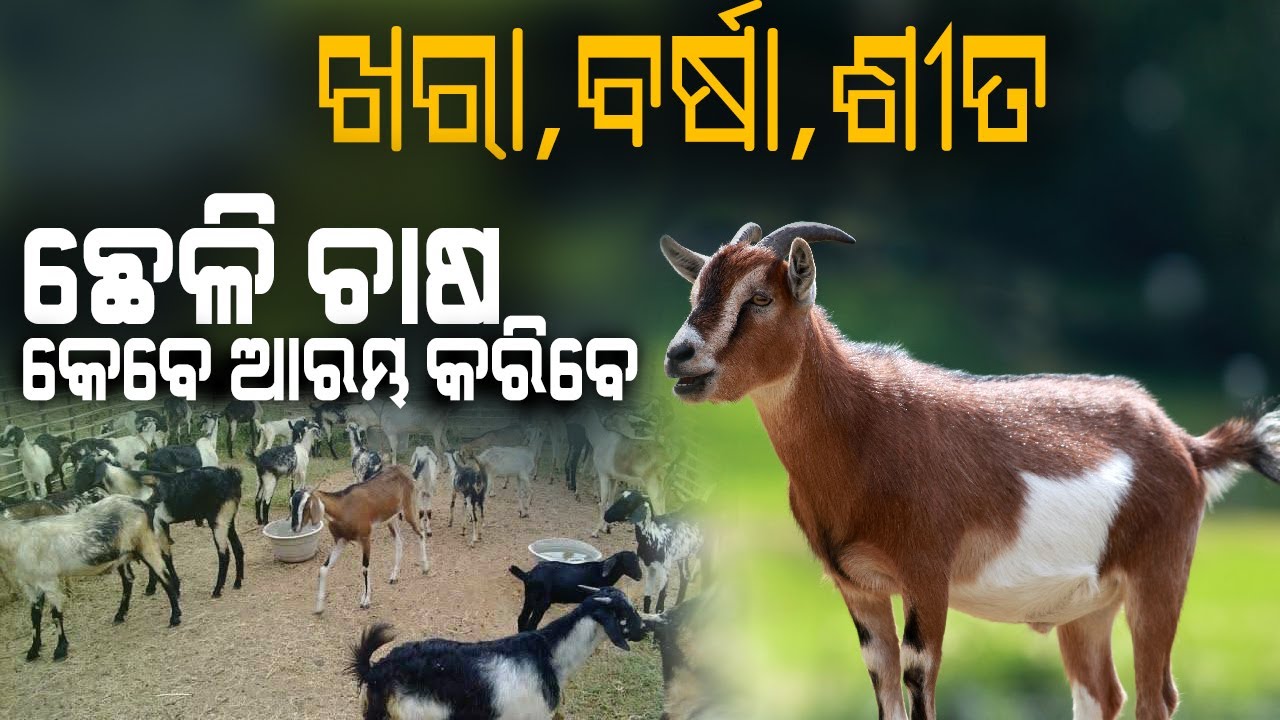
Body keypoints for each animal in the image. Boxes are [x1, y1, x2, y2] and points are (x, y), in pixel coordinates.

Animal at [0, 495, 181, 661]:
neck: (17, 540)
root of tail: (141, 503)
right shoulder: (30, 585)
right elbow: (35, 617)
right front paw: (33, 650)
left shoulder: (48, 580)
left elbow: (56, 615)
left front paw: (60, 649)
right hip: (124, 555)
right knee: (129, 580)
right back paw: (120, 615)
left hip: (146, 544)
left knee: (164, 575)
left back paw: (175, 616)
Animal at [98, 463, 245, 598]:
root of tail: (231, 475)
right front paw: (153, 587)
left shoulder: (158, 525)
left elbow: (165, 556)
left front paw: (174, 587)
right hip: (227, 520)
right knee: (237, 547)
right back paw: (237, 582)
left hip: (217, 522)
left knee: (224, 553)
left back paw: (217, 590)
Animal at [289, 466, 429, 614]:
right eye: (290, 505)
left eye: (306, 505)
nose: (294, 528)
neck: (343, 508)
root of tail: (402, 470)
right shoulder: (341, 541)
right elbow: (323, 569)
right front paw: (319, 607)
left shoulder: (365, 538)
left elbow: (364, 568)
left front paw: (365, 601)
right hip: (391, 518)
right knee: (399, 541)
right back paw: (394, 577)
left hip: (408, 509)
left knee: (421, 533)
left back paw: (425, 568)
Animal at [508, 550, 643, 631]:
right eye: (626, 562)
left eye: (637, 561)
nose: (640, 576)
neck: (601, 572)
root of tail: (528, 575)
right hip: (542, 601)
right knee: (531, 624)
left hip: (530, 597)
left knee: (522, 618)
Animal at [659, 220, 1280, 720]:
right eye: (695, 290)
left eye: (761, 297)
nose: (678, 356)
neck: (863, 426)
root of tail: (1186, 444)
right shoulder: (857, 586)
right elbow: (883, 681)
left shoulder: (926, 575)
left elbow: (919, 678)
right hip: (1090, 606)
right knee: (1102, 694)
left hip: (1159, 575)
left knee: (1156, 696)